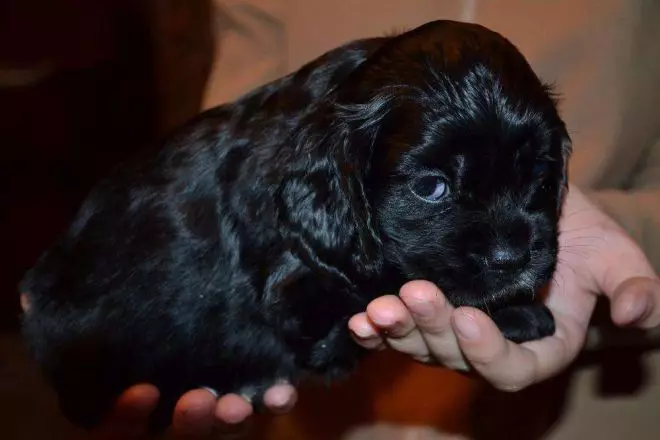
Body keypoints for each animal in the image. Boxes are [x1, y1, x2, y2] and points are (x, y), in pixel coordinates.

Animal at [20, 18, 572, 432]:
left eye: (540, 177)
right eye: (431, 188)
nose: (512, 258)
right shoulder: (306, 295)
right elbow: (390, 275)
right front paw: (524, 313)